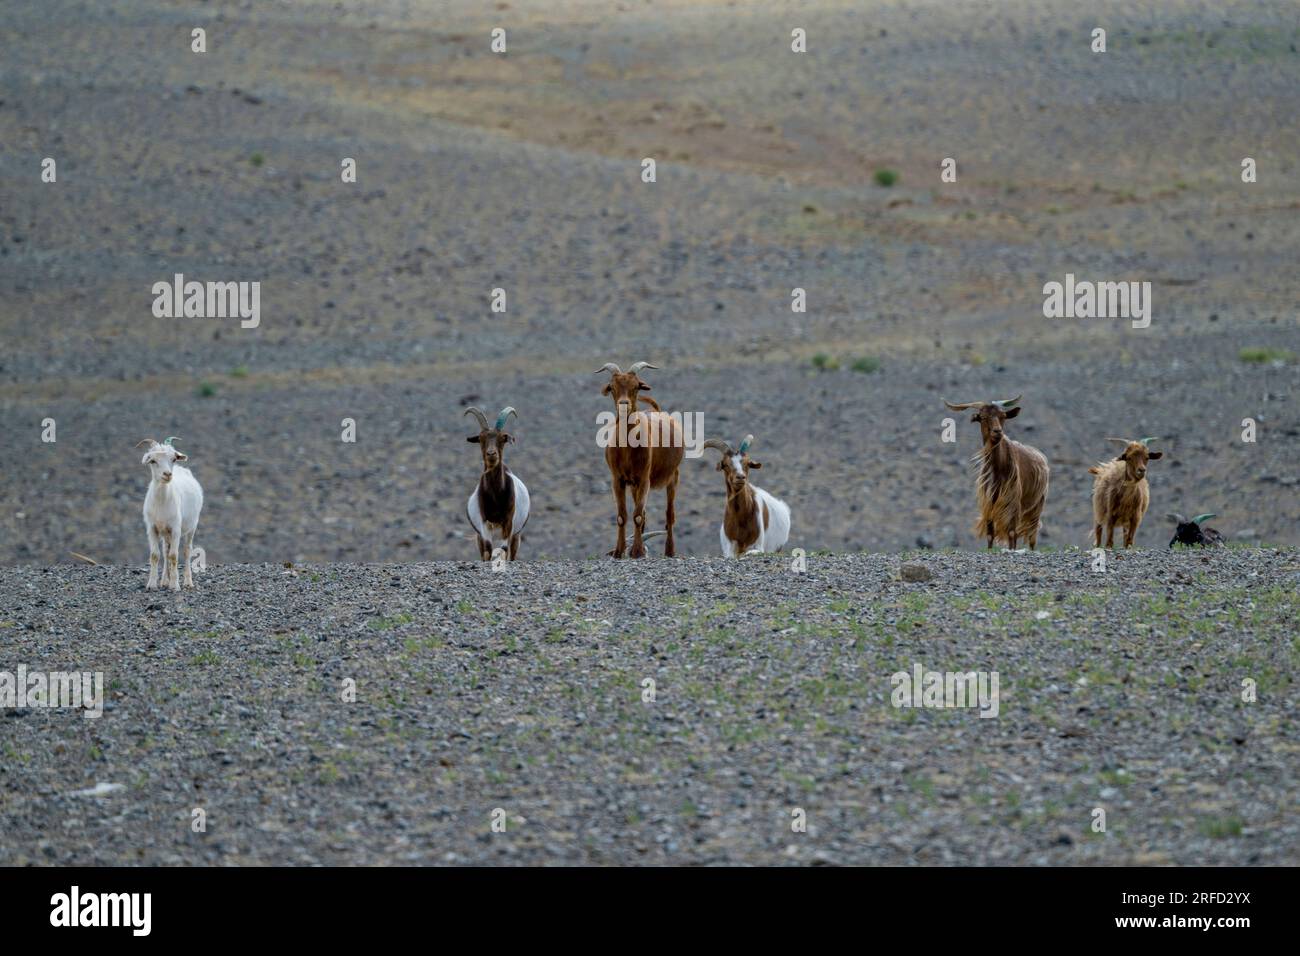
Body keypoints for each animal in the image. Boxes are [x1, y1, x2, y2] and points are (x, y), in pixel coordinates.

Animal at [137, 437, 203, 590]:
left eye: (173, 459)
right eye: (152, 460)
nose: (167, 474)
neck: (162, 503)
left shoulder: (175, 528)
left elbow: (174, 556)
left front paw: (175, 585)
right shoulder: (152, 528)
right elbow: (155, 555)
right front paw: (152, 584)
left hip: (191, 527)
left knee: (186, 551)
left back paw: (187, 582)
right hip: (165, 532)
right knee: (165, 552)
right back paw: (164, 581)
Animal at [464, 406, 530, 561]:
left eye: (502, 438)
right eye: (481, 438)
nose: (491, 454)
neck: (495, 497)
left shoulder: (508, 521)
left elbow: (504, 549)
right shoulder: (484, 522)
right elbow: (488, 548)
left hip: (516, 534)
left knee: (512, 551)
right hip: (480, 534)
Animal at [595, 361, 684, 558]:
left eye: (636, 387)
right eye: (612, 387)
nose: (624, 404)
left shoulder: (644, 479)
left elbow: (637, 515)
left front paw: (637, 552)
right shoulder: (618, 480)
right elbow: (622, 516)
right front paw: (619, 552)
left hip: (673, 476)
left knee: (669, 514)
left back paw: (670, 551)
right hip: (634, 485)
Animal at [943, 395, 1050, 549]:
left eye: (1003, 416)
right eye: (983, 417)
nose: (997, 432)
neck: (999, 471)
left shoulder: (1012, 502)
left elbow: (1012, 533)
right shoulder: (989, 503)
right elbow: (990, 534)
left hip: (1037, 505)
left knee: (1032, 534)